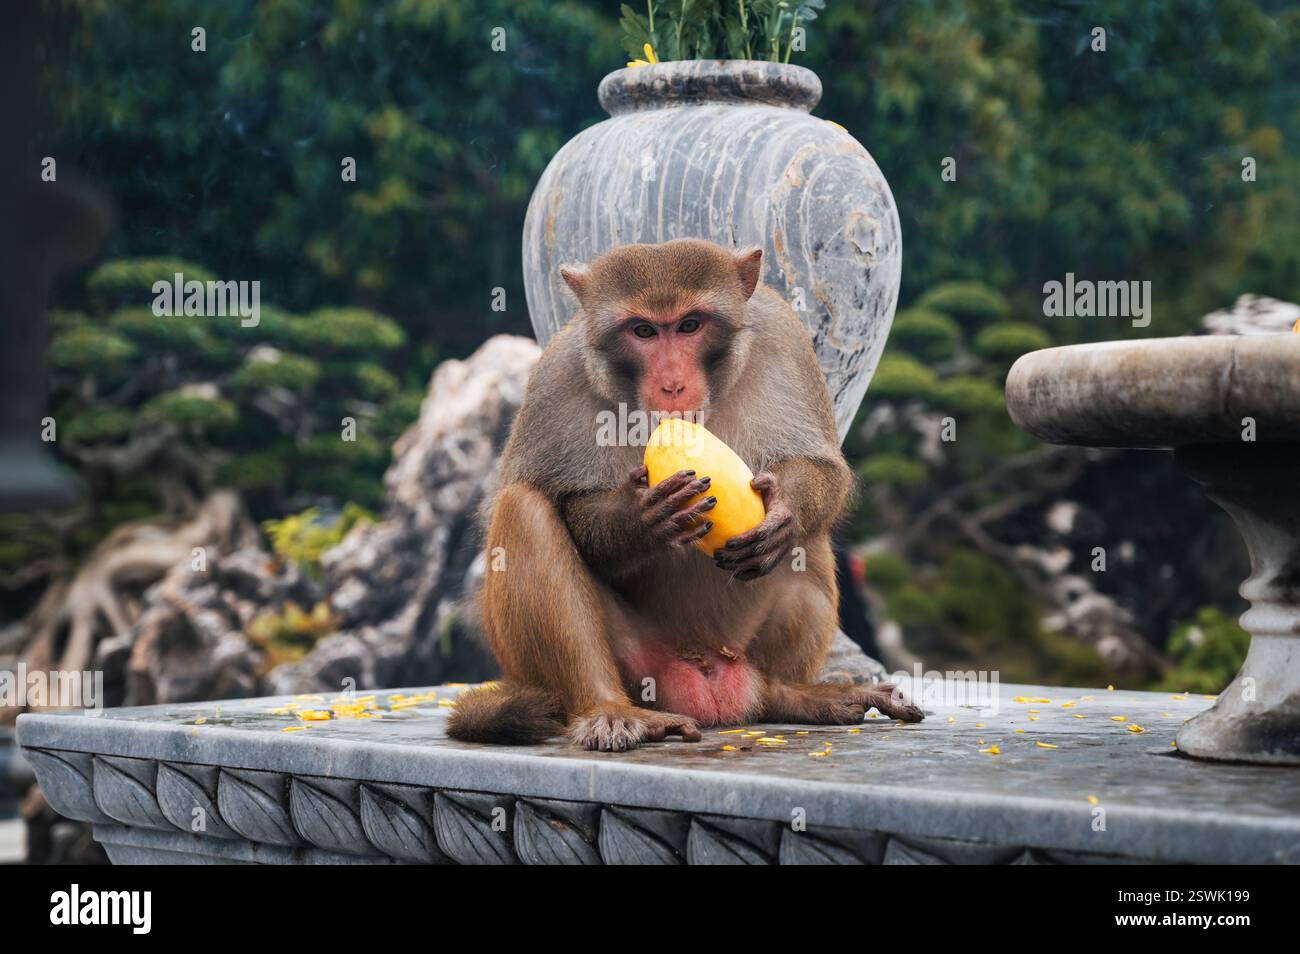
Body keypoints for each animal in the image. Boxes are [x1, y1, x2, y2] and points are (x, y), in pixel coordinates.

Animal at [448, 238, 923, 751]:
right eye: (643, 331)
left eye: (690, 325)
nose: (672, 384)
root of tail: (711, 685)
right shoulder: (557, 378)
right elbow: (549, 499)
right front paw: (637, 519)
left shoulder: (784, 338)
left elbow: (822, 472)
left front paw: (782, 513)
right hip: (639, 666)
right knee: (522, 509)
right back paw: (608, 708)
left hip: (738, 650)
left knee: (807, 543)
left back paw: (789, 694)